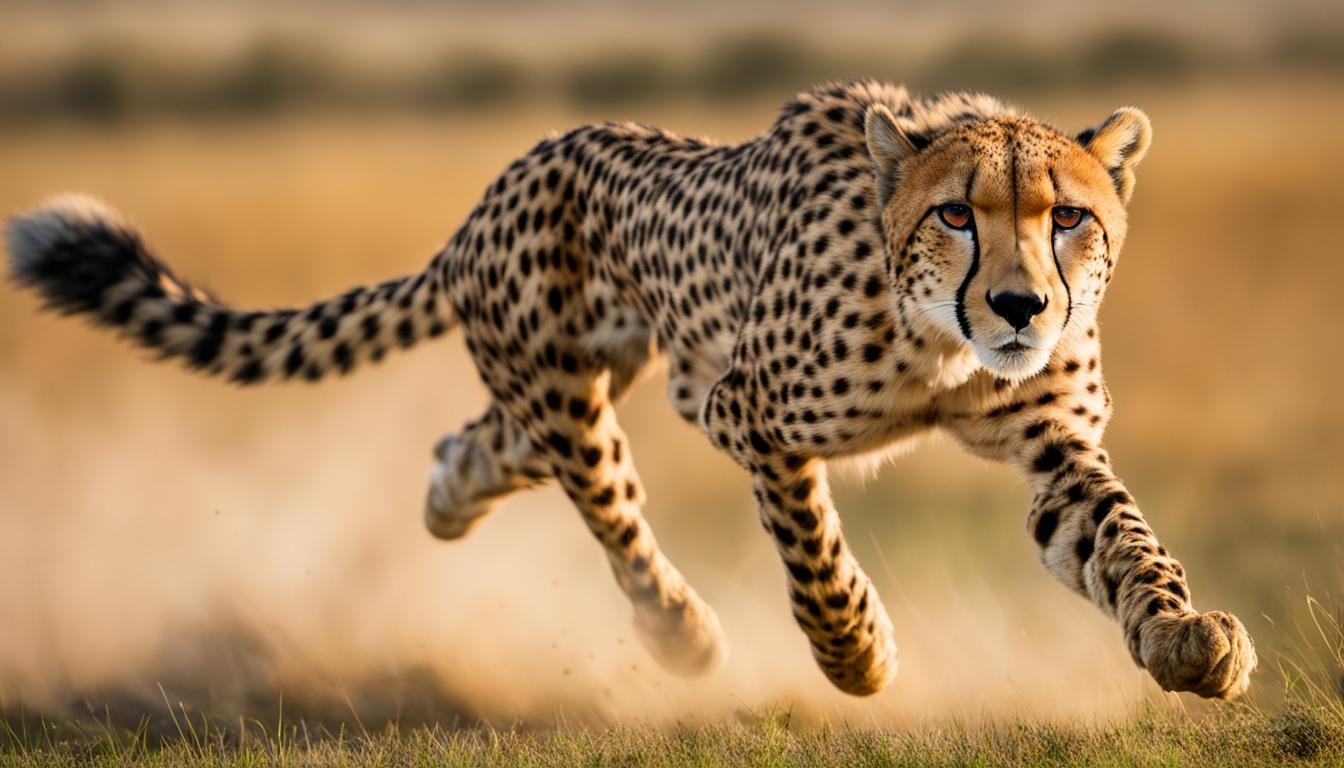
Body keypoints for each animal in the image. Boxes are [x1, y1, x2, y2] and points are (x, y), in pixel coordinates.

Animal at [5, 80, 1256, 700]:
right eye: (957, 212)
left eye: (1069, 214)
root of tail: (499, 186)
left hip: (582, 381)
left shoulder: (1052, 444)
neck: (938, 344)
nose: (1020, 307)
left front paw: (1187, 641)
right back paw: (683, 637)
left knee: (479, 443)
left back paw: (446, 496)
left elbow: (1122, 541)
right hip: (575, 395)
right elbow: (813, 551)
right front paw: (856, 659)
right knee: (610, 511)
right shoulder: (758, 416)